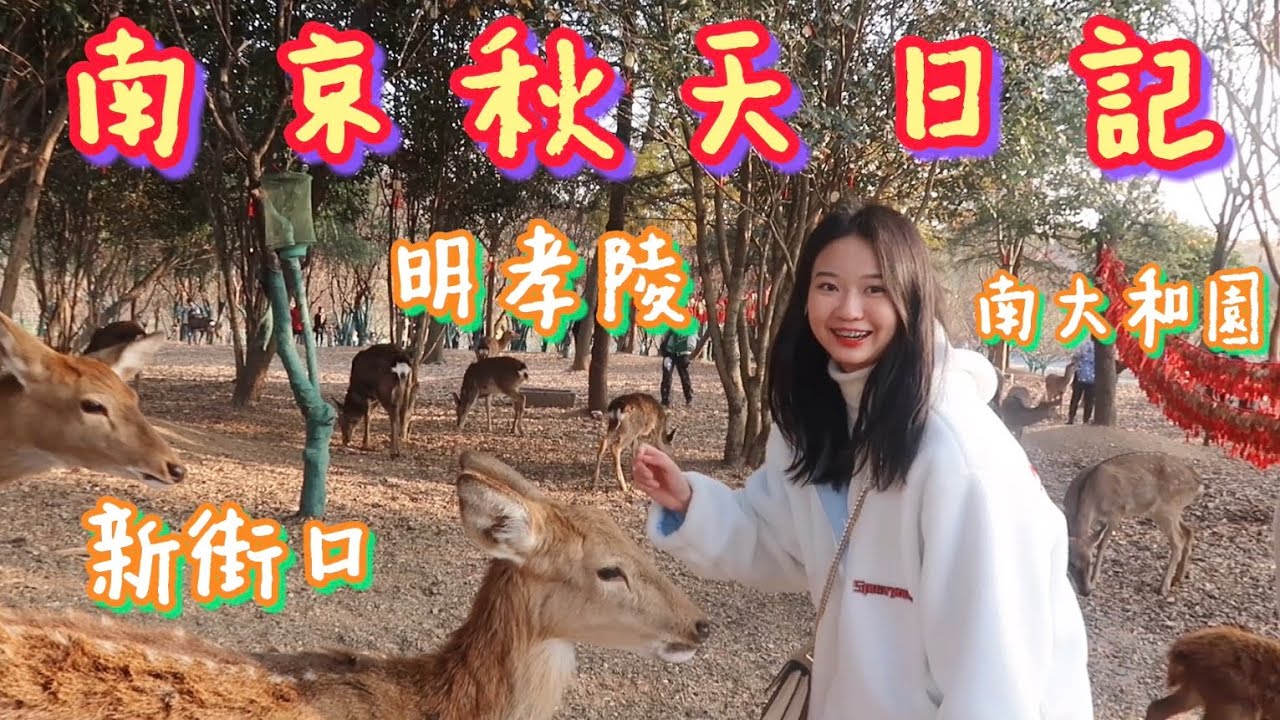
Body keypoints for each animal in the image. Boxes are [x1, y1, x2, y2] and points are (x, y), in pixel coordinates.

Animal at [1063, 451, 1203, 598]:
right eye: (1071, 563)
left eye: (1090, 562)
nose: (1085, 591)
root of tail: (1198, 483)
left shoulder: (1117, 512)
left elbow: (1102, 545)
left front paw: (1094, 580)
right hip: (1170, 511)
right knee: (1188, 531)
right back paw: (1178, 578)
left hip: (1166, 509)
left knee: (1178, 541)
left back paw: (1163, 587)